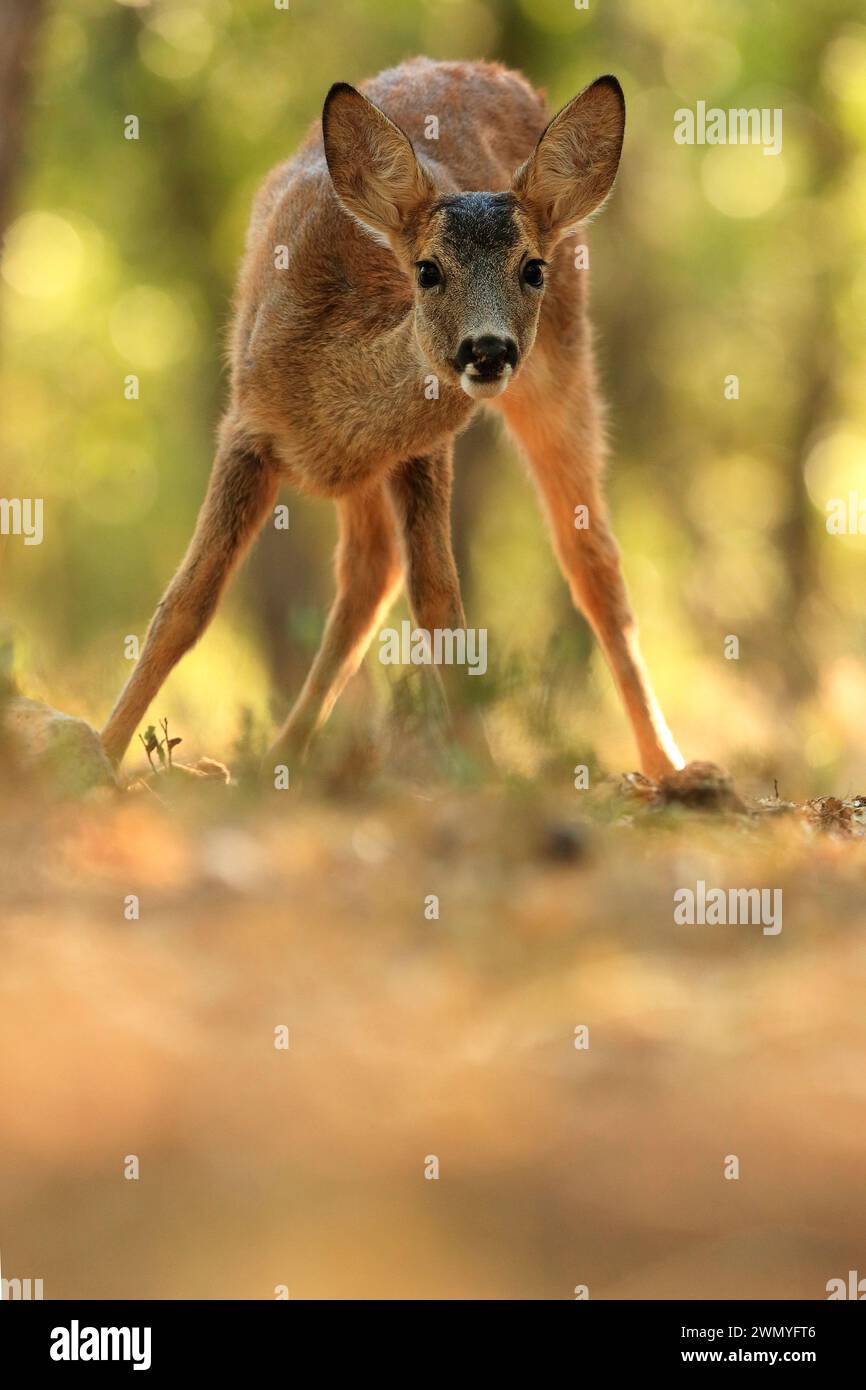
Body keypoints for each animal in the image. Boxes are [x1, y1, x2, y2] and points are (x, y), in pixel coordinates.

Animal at [101, 57, 684, 781]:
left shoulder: (422, 452)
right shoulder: (246, 428)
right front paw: (100, 752)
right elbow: (186, 604)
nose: (487, 349)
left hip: (563, 365)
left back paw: (668, 763)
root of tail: (498, 71)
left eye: (532, 268)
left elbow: (441, 607)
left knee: (591, 558)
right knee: (367, 574)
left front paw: (482, 770)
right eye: (428, 270)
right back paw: (280, 756)